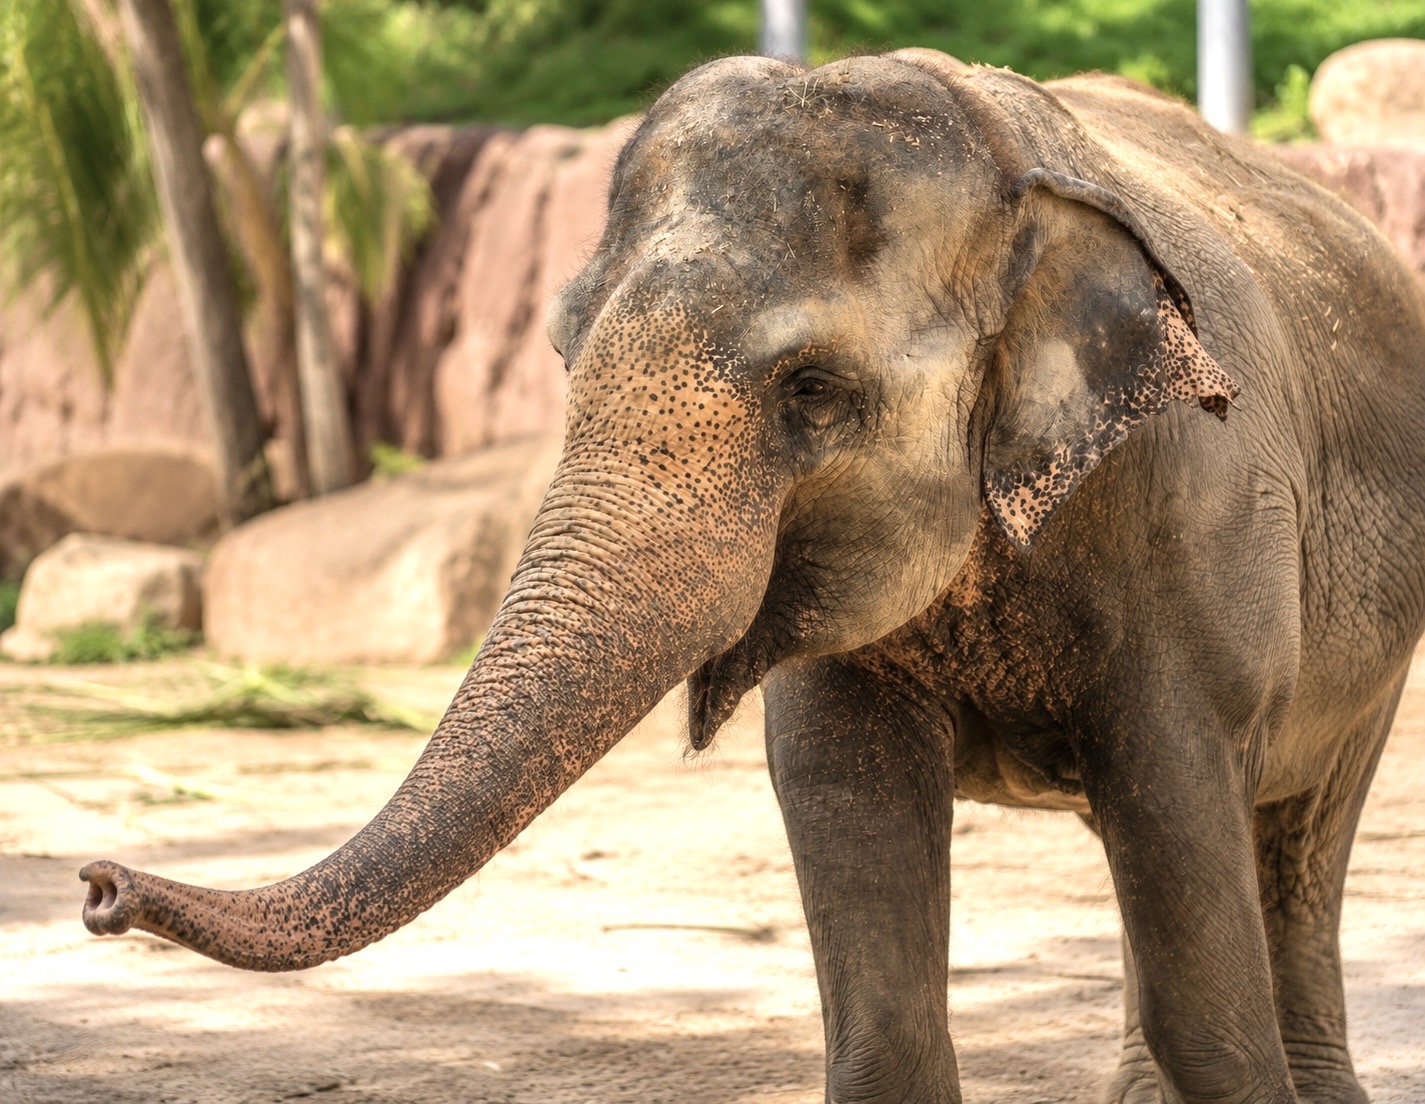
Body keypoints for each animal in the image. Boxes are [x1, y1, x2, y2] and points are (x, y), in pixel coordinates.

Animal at [78, 50, 1425, 1104]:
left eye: (812, 392)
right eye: (563, 347)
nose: (97, 884)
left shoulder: (1191, 517)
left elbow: (1196, 902)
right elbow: (862, 912)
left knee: (1292, 844)